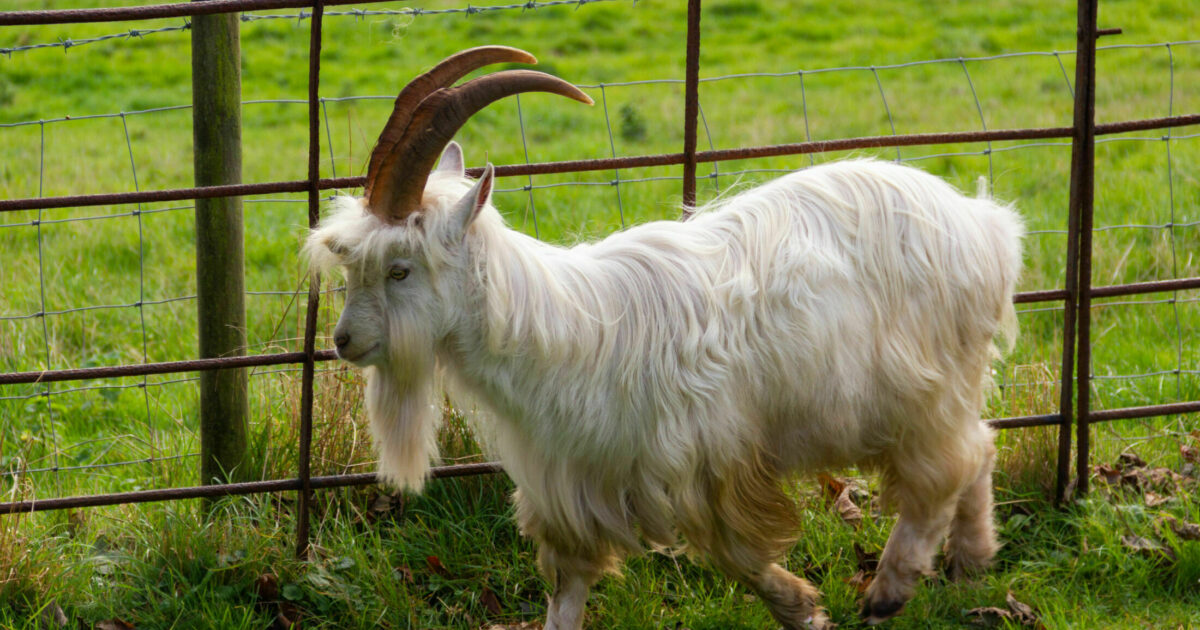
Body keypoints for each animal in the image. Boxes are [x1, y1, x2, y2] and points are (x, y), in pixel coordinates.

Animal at [306, 46, 1024, 629]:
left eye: (400, 269)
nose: (344, 342)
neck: (560, 333)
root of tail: (983, 224)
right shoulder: (571, 486)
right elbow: (567, 588)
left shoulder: (705, 462)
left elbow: (737, 553)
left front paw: (803, 608)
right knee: (979, 448)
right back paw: (972, 562)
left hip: (918, 390)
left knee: (945, 468)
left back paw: (890, 591)